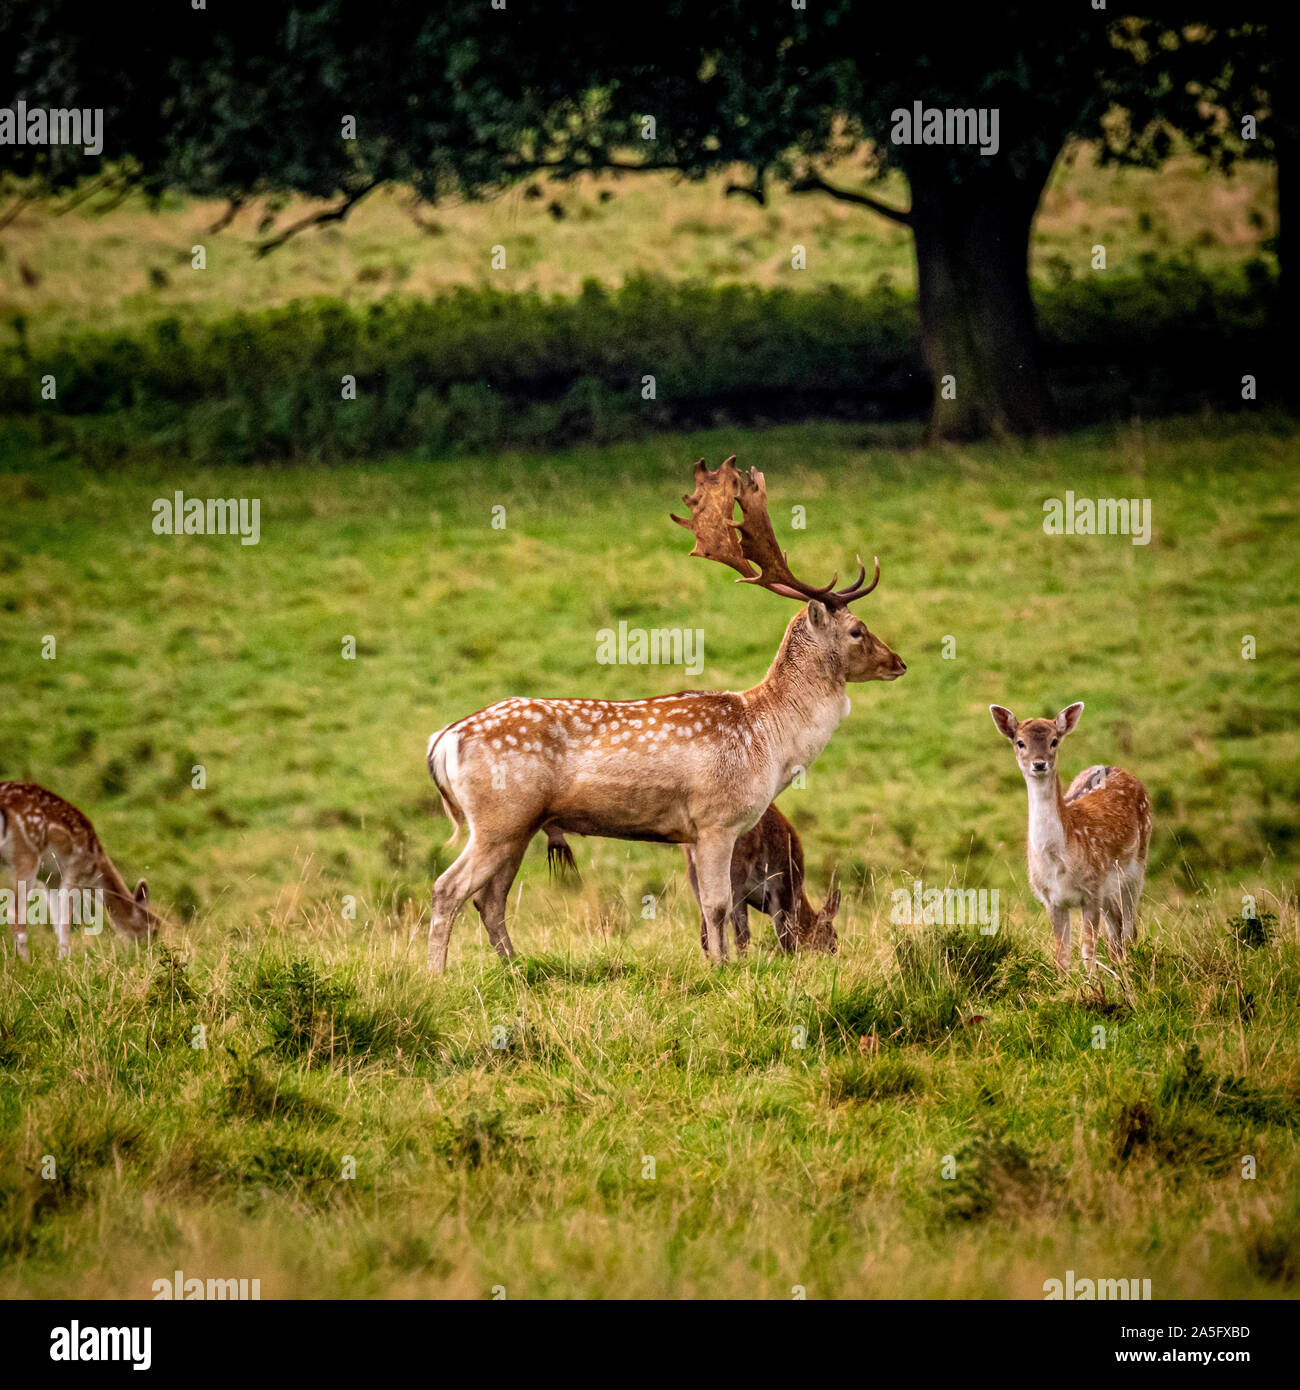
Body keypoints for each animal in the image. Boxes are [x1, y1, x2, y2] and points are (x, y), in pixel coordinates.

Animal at [0, 781, 166, 961]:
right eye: (153, 928)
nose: (151, 952)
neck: (94, 871)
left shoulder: (50, 879)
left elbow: (56, 920)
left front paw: (60, 958)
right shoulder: (74, 869)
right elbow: (65, 921)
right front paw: (64, 960)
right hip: (27, 852)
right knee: (14, 913)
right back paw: (25, 963)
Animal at [424, 455, 905, 972]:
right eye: (858, 630)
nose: (898, 662)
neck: (769, 741)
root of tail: (443, 740)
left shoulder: (699, 832)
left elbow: (713, 910)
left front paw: (716, 964)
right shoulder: (716, 819)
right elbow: (717, 905)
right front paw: (721, 969)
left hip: (517, 826)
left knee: (489, 898)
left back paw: (517, 969)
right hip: (499, 817)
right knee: (448, 888)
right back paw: (438, 975)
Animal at [988, 703, 1152, 973]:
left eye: (1054, 741)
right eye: (1020, 742)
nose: (1039, 764)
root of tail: (1116, 768)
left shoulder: (1092, 890)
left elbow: (1088, 952)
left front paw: (1094, 985)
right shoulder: (1050, 899)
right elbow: (1062, 957)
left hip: (1136, 866)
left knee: (1129, 927)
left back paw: (1129, 967)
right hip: (1109, 888)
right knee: (1116, 924)